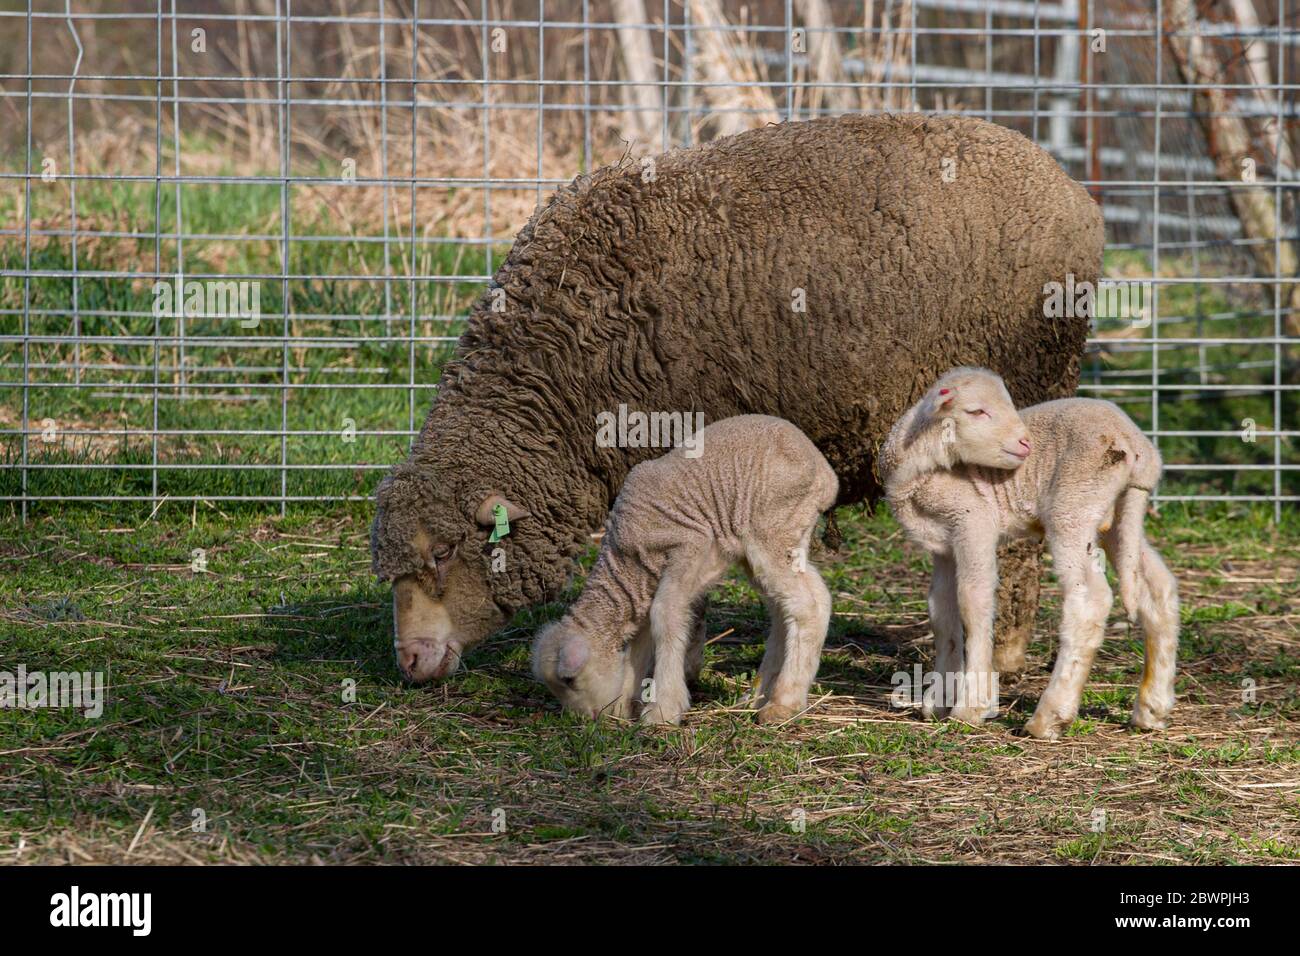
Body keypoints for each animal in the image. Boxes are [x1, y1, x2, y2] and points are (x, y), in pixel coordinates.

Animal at [371, 113, 1103, 686]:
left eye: (443, 553)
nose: (409, 661)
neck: (564, 378)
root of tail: (1075, 195)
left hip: (1026, 390)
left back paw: (1003, 653)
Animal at [532, 415, 838, 725]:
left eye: (569, 680)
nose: (584, 719)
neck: (627, 565)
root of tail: (826, 476)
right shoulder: (648, 578)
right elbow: (643, 631)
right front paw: (627, 702)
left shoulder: (688, 547)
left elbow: (664, 616)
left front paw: (662, 708)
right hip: (786, 537)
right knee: (804, 601)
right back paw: (758, 696)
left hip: (772, 529)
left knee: (805, 606)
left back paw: (784, 702)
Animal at [879, 367, 1179, 739]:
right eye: (977, 411)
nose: (1026, 445)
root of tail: (1139, 447)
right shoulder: (942, 544)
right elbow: (941, 611)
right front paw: (938, 701)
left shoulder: (973, 520)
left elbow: (972, 601)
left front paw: (971, 707)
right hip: (1116, 516)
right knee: (1158, 588)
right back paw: (1152, 709)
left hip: (1074, 506)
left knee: (1089, 599)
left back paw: (1049, 717)